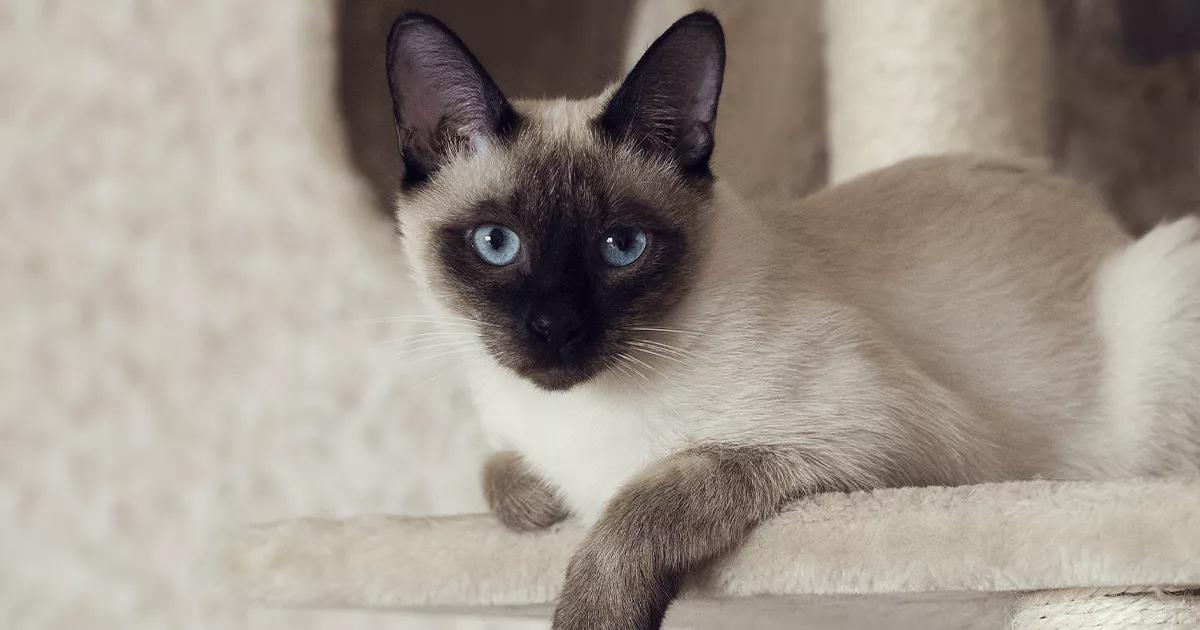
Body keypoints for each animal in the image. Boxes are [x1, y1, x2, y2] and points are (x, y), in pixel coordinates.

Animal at [381, 9, 1200, 628]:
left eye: (622, 247)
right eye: (497, 243)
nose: (555, 329)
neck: (575, 425)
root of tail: (1103, 220)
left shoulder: (883, 446)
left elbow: (648, 496)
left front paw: (591, 606)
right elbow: (500, 477)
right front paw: (540, 506)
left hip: (1165, 283)